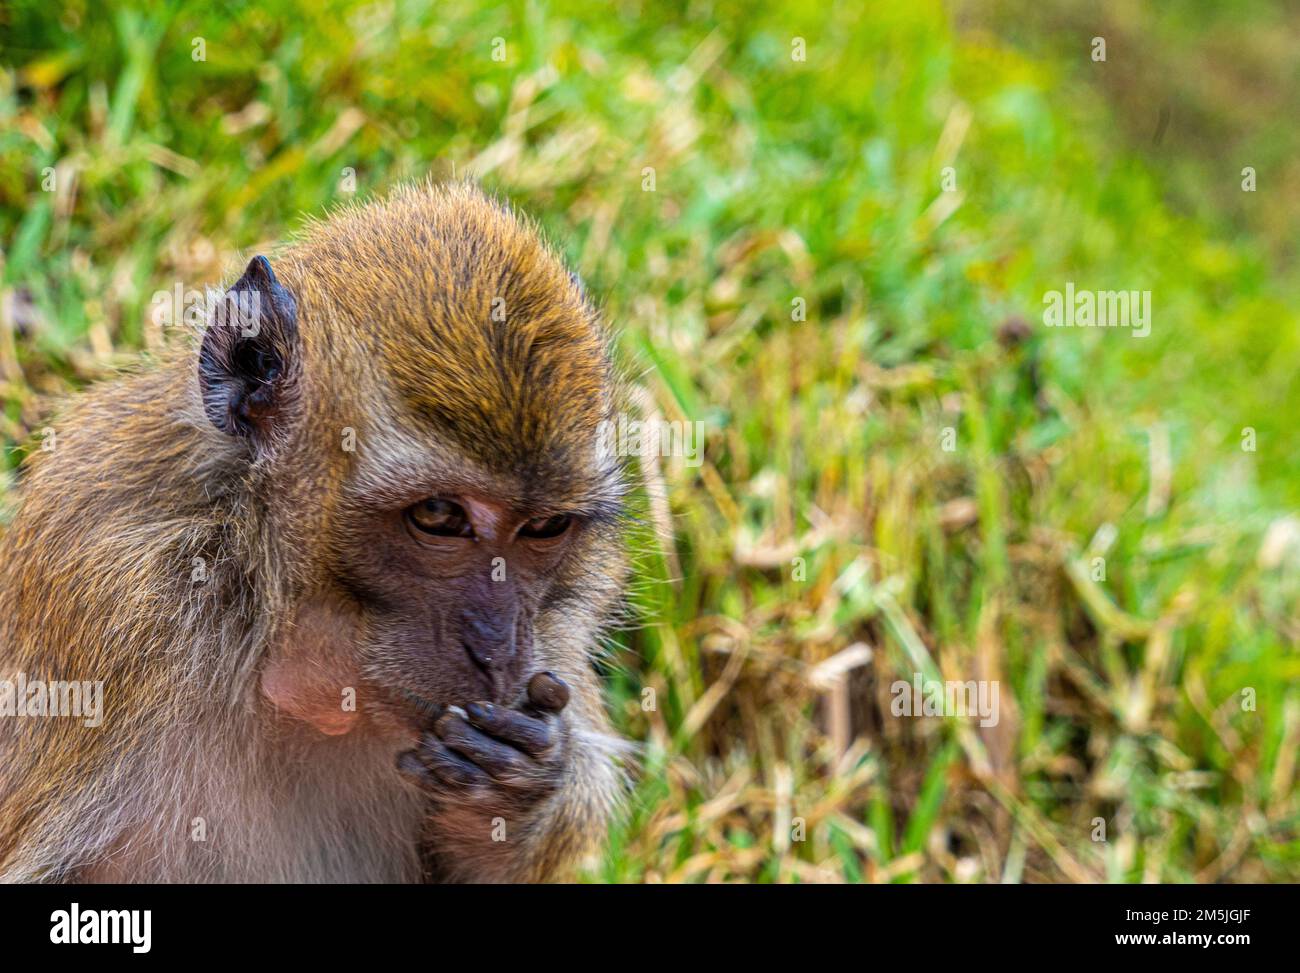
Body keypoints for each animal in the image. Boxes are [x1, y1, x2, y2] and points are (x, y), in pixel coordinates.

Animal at [0, 181, 631, 883]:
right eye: (440, 517)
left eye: (545, 527)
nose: (499, 652)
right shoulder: (117, 602)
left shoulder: (556, 641)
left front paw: (515, 787)